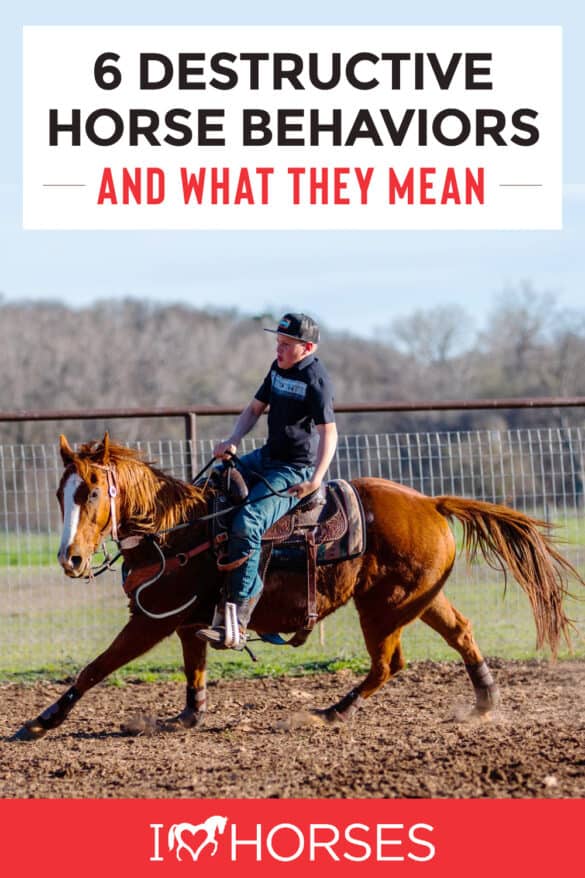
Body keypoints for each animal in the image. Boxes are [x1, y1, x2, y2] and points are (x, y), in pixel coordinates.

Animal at [11, 432, 581, 741]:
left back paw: (331, 712)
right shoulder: (187, 623)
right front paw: (188, 718)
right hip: (420, 598)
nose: (70, 558)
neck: (176, 529)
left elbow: (95, 668)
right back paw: (484, 700)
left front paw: (39, 722)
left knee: (388, 664)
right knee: (459, 631)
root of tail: (431, 503)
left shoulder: (154, 621)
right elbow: (195, 672)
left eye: (90, 492)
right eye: (61, 493)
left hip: (384, 609)